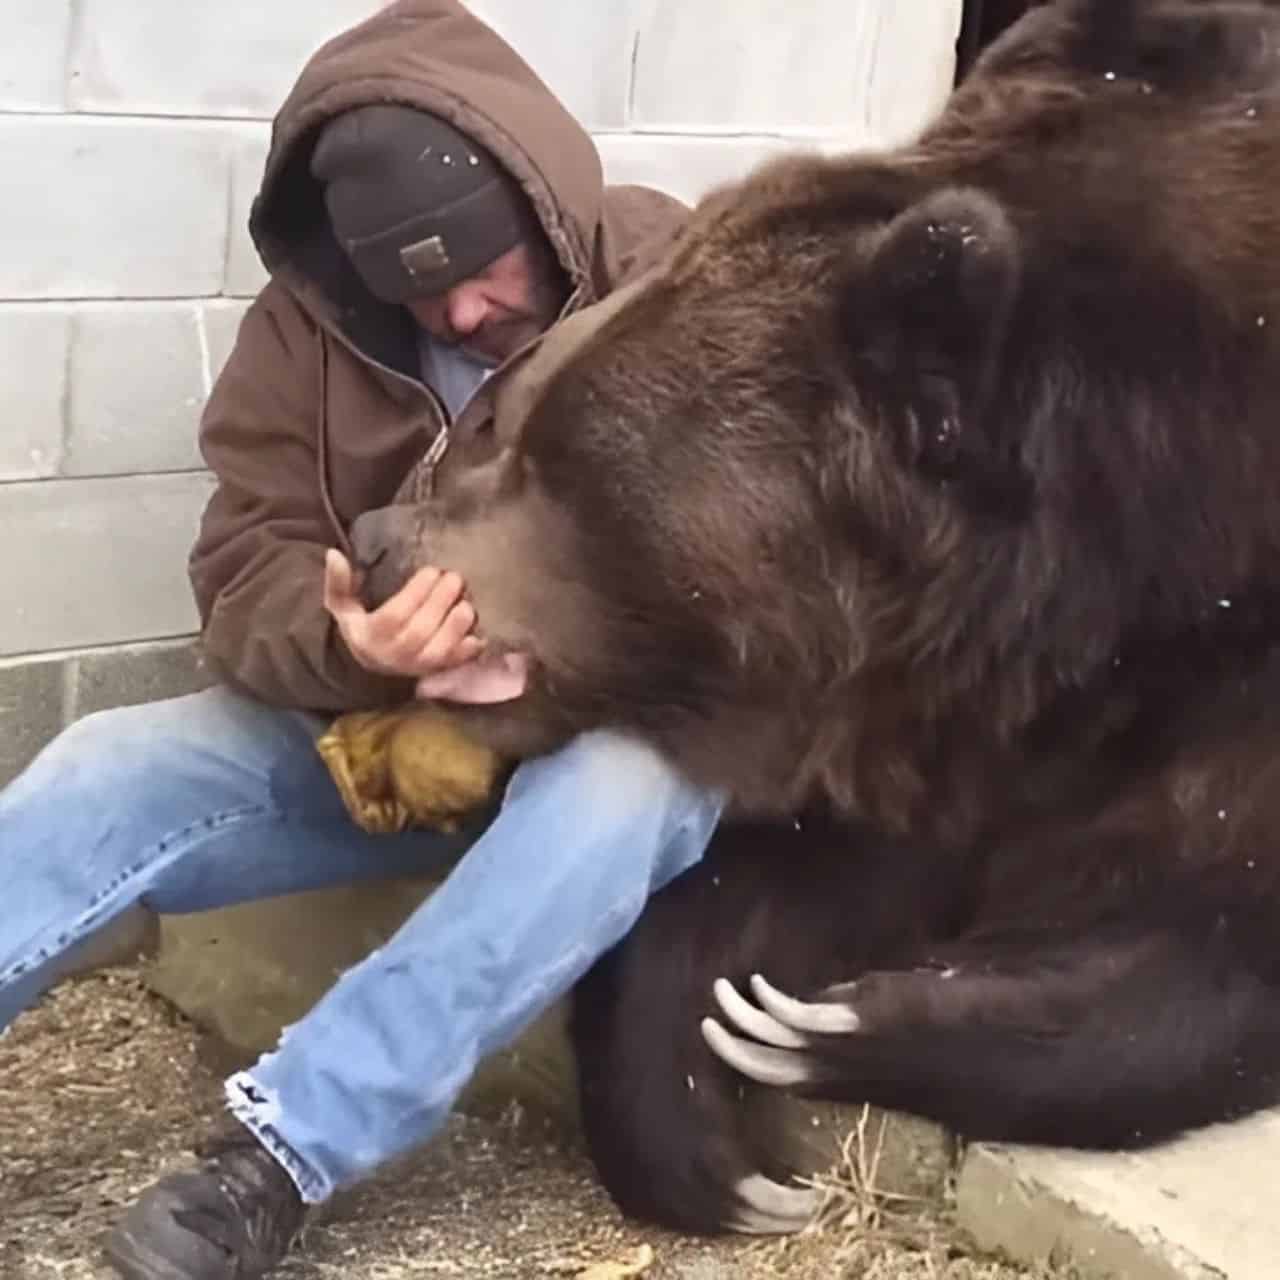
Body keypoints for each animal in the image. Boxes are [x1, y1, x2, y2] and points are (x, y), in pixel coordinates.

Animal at [350, 0, 1280, 1237]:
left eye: (549, 453)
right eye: (516, 409)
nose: (373, 541)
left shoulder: (1215, 674)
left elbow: (1197, 929)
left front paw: (841, 1021)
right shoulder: (936, 704)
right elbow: (796, 872)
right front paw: (715, 1123)